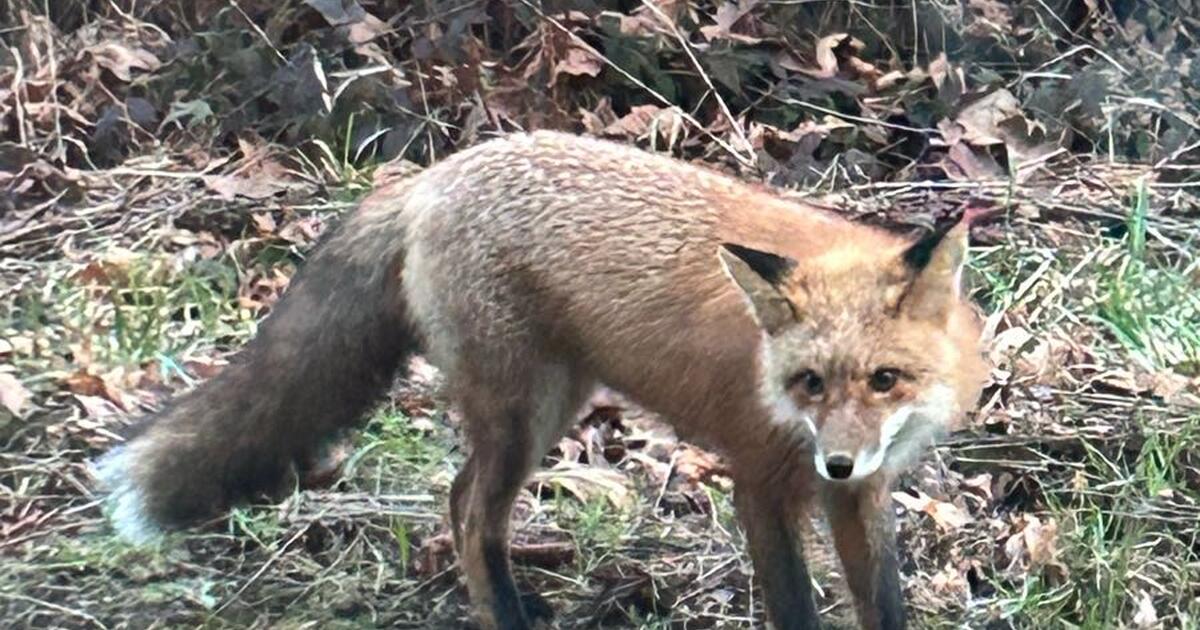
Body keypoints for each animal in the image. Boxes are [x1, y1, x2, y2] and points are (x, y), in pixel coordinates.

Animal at [93, 130, 988, 630]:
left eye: (884, 379)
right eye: (809, 382)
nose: (835, 458)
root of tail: (433, 175)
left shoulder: (862, 493)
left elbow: (884, 603)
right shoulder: (760, 484)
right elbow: (797, 606)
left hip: (550, 407)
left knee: (462, 505)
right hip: (526, 413)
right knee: (467, 515)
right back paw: (507, 617)